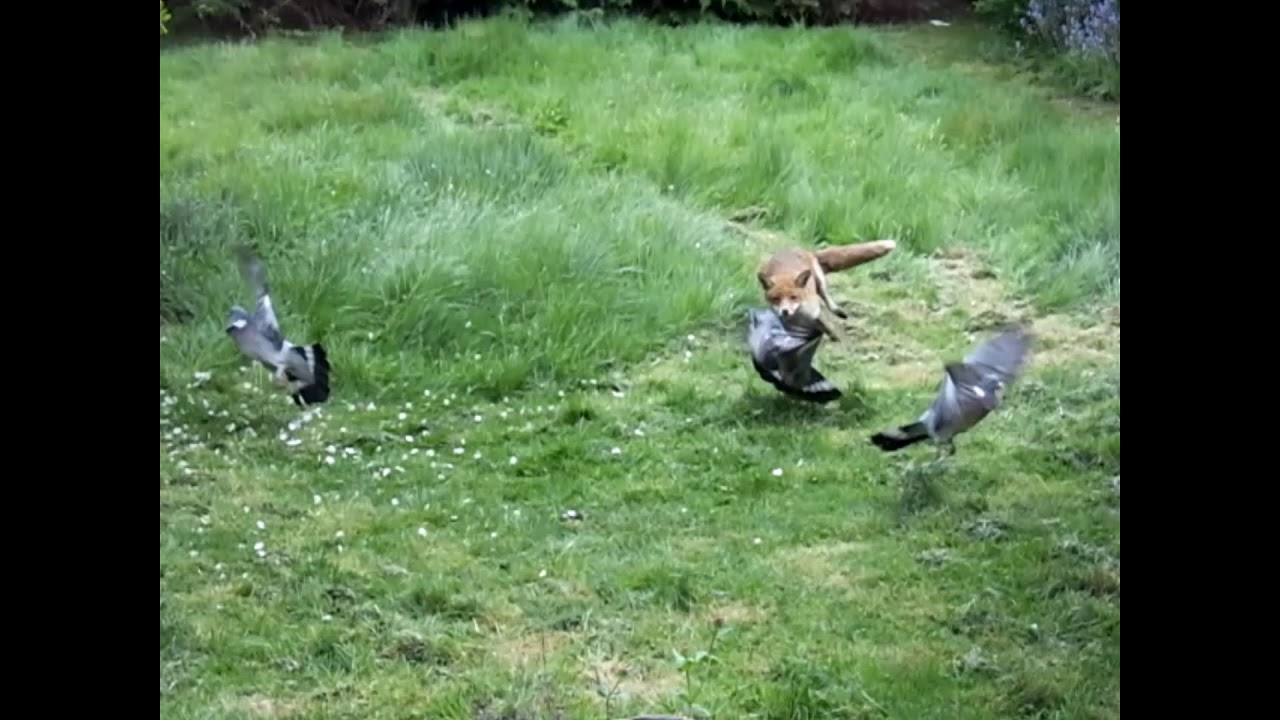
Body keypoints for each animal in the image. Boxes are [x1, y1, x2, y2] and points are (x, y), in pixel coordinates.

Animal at [756, 239, 897, 341]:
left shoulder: (815, 312)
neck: (797, 315)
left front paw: (835, 338)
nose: (785, 311)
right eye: (776, 299)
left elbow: (827, 327)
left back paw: (837, 311)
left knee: (825, 296)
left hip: (820, 281)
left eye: (793, 297)